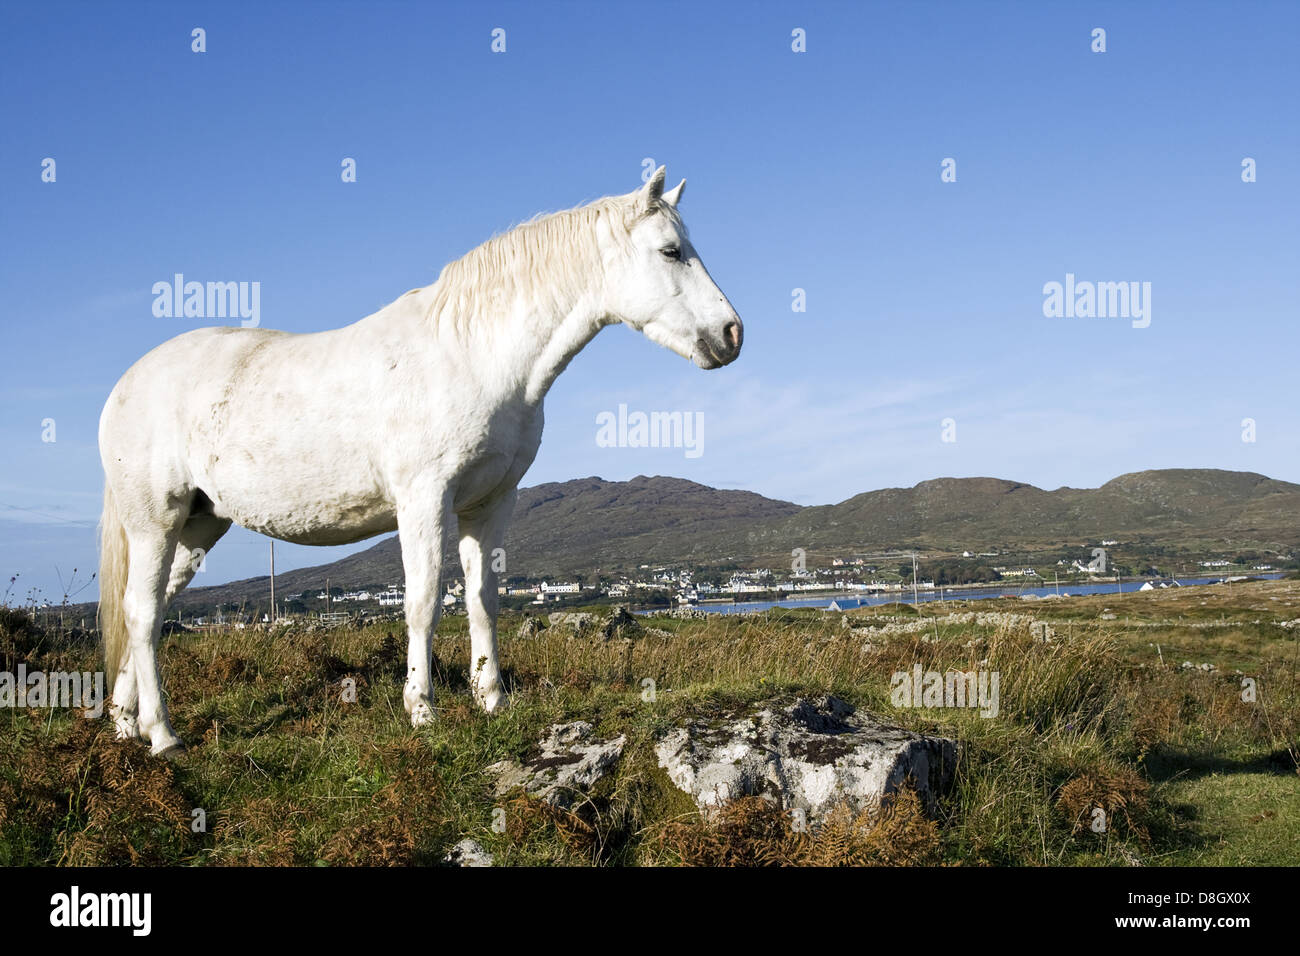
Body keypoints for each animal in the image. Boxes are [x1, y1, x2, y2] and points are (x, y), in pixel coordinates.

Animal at [98, 167, 743, 756]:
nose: (731, 334)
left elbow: (482, 599)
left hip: (199, 525)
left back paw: (126, 724)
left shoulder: (489, 504)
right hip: (156, 521)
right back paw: (163, 735)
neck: (474, 354)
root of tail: (124, 385)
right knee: (143, 613)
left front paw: (492, 699)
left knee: (143, 614)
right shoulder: (424, 499)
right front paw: (422, 710)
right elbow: (425, 600)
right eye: (671, 250)